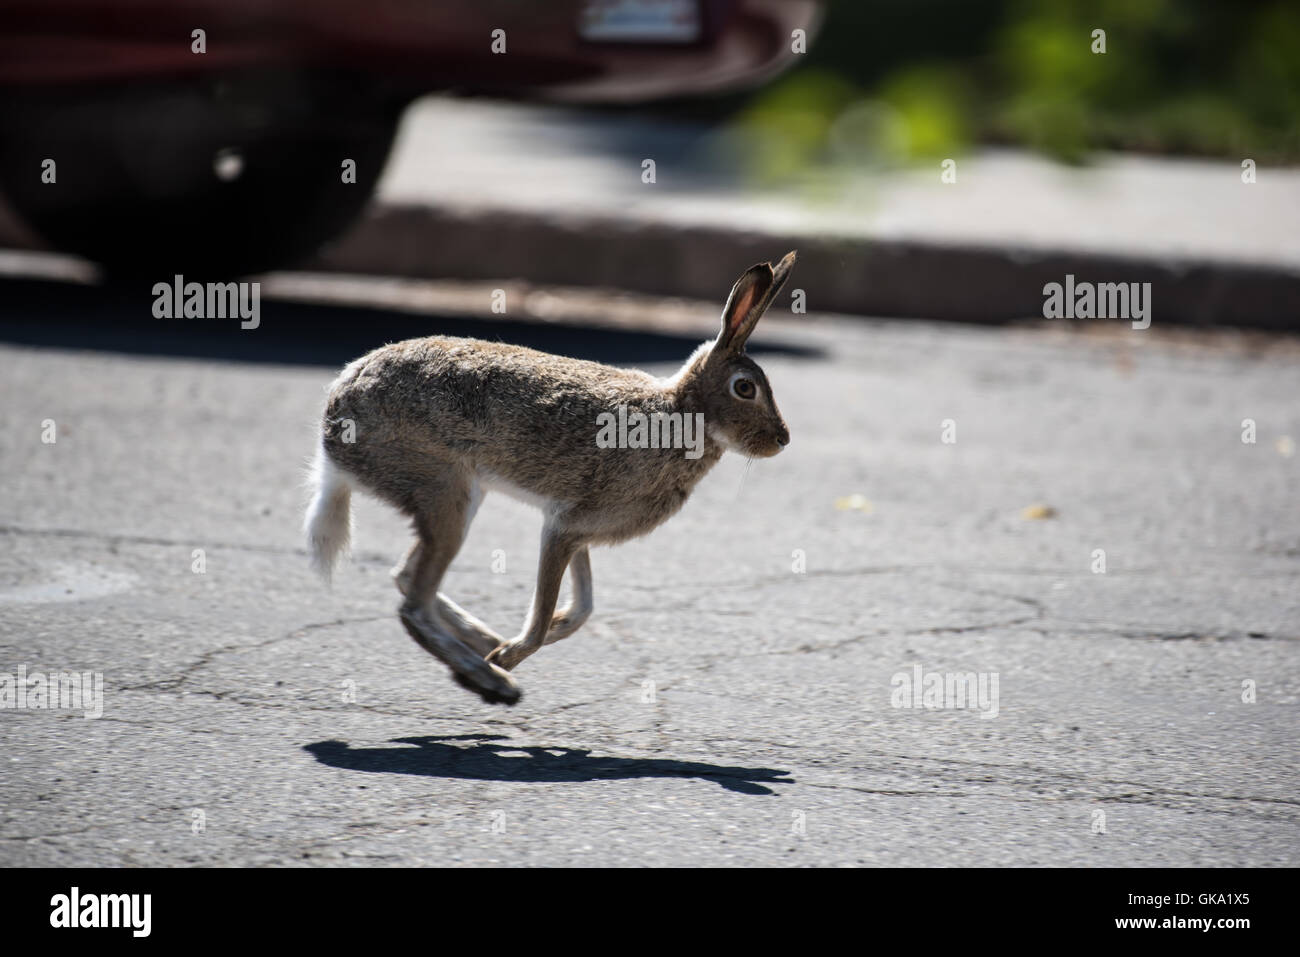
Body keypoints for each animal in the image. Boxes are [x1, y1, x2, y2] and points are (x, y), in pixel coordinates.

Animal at [304, 251, 796, 705]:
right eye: (745, 388)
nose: (782, 440)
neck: (682, 412)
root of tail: (336, 422)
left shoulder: (575, 529)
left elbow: (582, 608)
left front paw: (515, 643)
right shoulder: (565, 527)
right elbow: (545, 619)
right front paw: (508, 656)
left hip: (456, 497)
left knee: (407, 577)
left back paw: (483, 643)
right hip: (443, 491)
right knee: (414, 605)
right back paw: (490, 679)